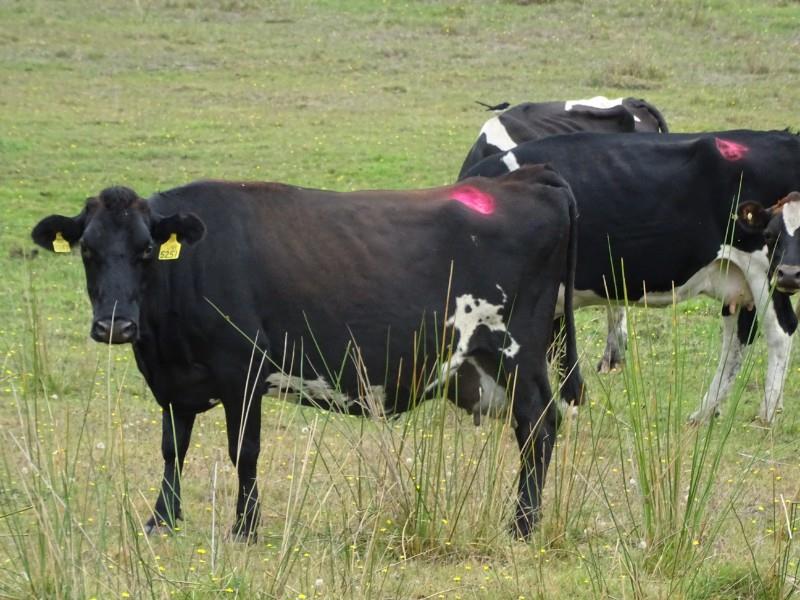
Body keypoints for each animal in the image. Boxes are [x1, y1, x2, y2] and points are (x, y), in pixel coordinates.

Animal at [31, 164, 584, 540]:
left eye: (146, 250)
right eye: (88, 251)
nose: (115, 324)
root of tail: (529, 180)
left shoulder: (244, 371)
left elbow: (244, 450)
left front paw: (245, 528)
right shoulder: (171, 380)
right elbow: (173, 448)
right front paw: (161, 520)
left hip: (515, 351)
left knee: (538, 425)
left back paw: (522, 525)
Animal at [462, 129, 800, 424]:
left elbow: (555, 349)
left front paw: (568, 407)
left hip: (768, 270)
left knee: (780, 331)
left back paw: (766, 414)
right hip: (736, 277)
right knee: (737, 337)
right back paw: (704, 413)